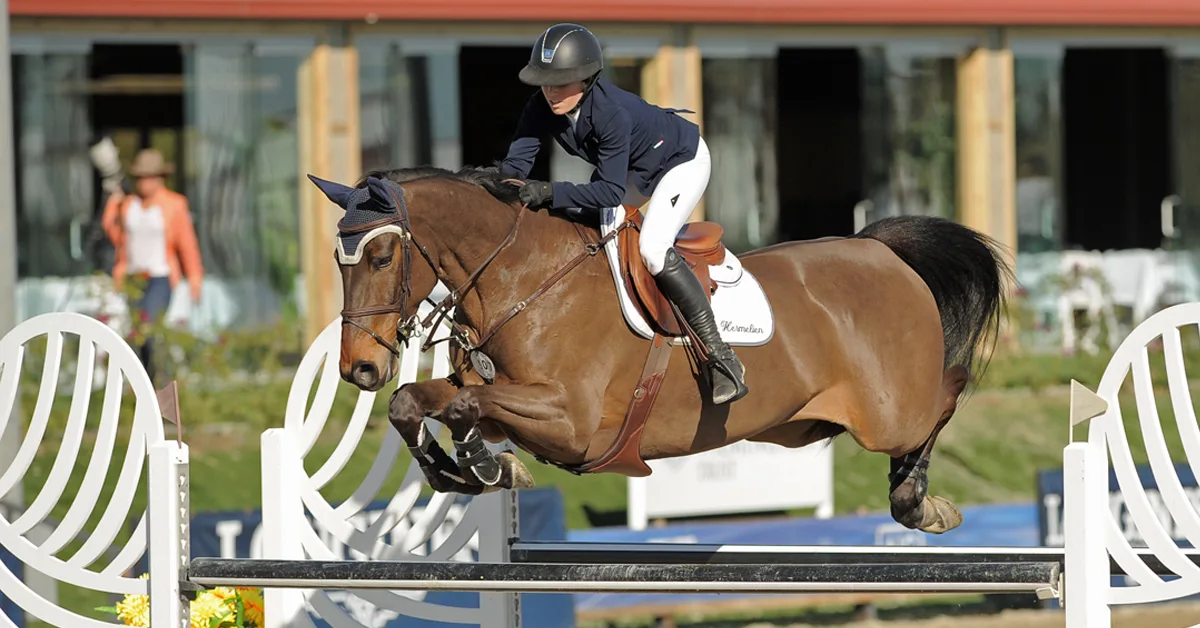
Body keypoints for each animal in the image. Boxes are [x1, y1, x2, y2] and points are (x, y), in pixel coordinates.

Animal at [307, 163, 1010, 535]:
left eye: (381, 256)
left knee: (949, 391)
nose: (359, 368)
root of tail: (880, 250)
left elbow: (460, 409)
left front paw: (484, 465)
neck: (523, 280)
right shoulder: (501, 396)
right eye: (338, 261)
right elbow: (414, 402)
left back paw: (917, 501)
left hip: (890, 413)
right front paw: (471, 471)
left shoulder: (572, 423)